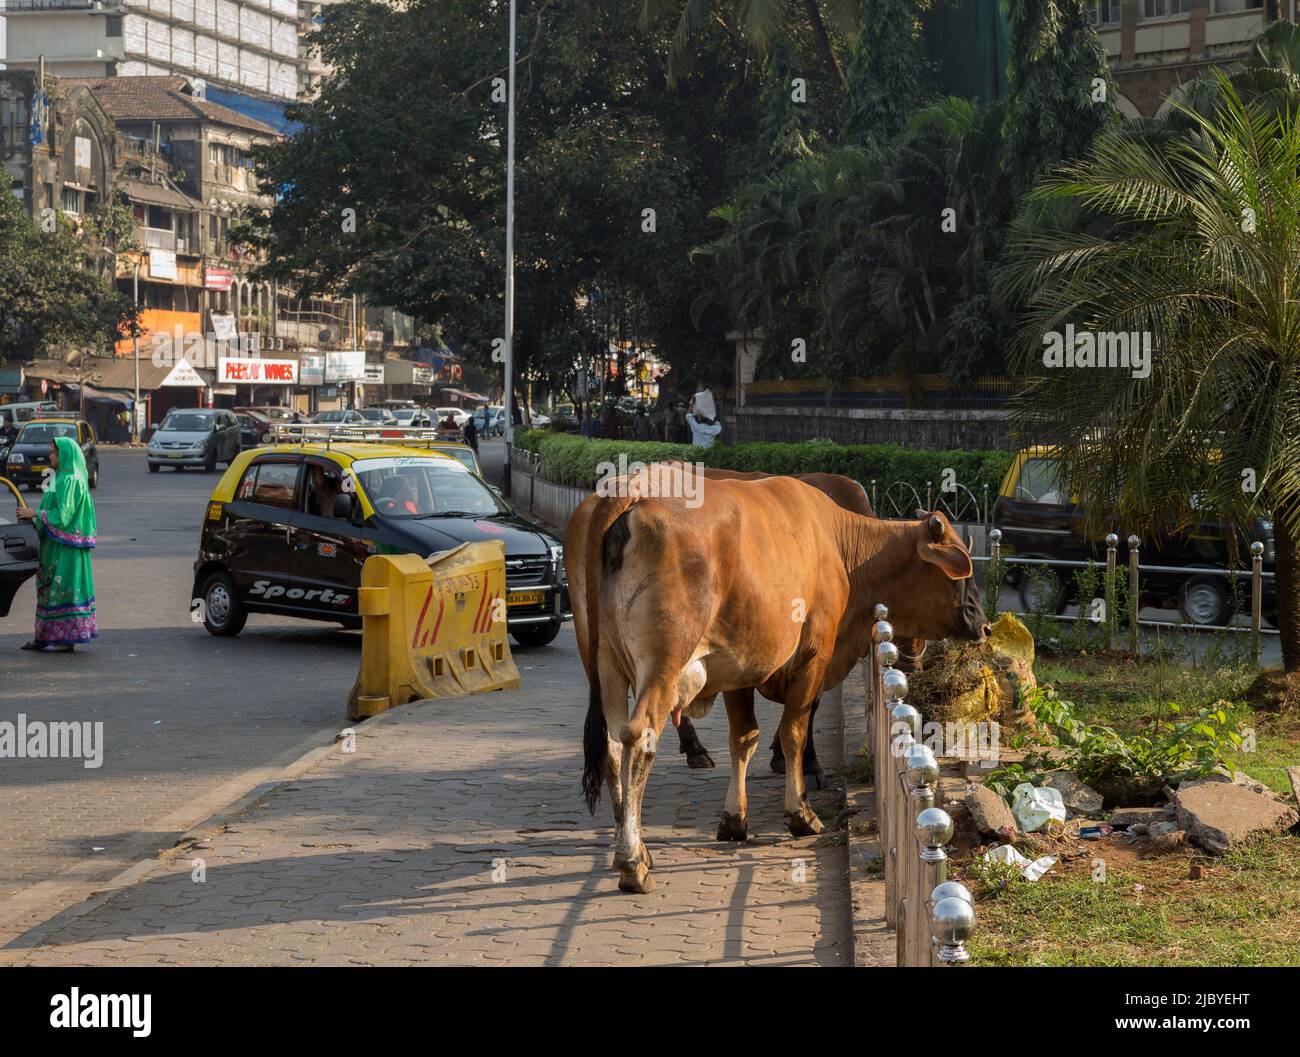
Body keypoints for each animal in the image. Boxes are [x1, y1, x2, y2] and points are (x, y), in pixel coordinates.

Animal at [566, 465, 988, 893]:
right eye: (960, 574)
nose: (984, 625)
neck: (841, 542)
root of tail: (628, 491)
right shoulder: (815, 655)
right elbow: (794, 731)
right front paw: (800, 809)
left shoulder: (738, 664)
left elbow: (743, 738)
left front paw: (735, 819)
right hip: (663, 664)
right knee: (639, 739)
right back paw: (632, 860)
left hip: (605, 666)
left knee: (612, 745)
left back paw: (635, 845)